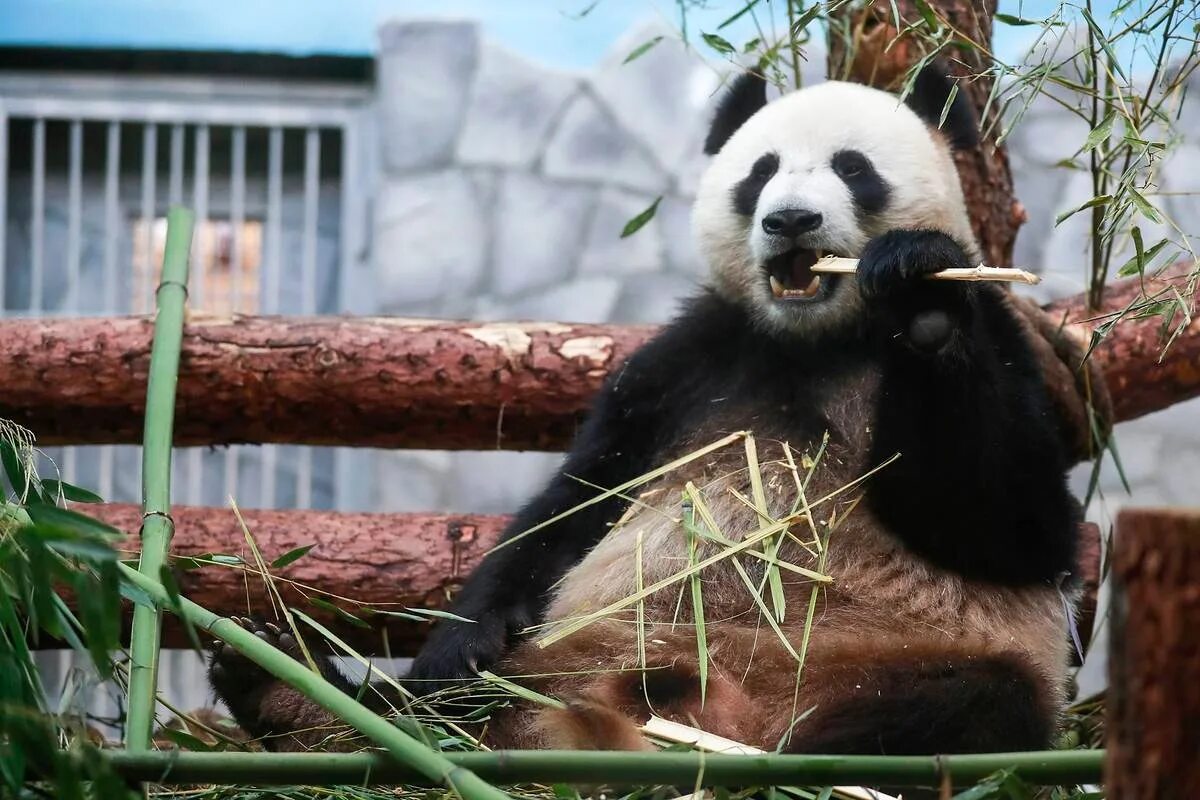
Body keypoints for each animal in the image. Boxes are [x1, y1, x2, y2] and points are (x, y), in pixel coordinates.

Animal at [211, 62, 1084, 758]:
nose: (790, 219)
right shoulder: (684, 368)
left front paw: (920, 295)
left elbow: (1016, 527)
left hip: (897, 660)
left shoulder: (1009, 344)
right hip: (575, 658)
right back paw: (293, 693)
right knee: (454, 708)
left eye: (852, 167)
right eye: (760, 171)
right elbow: (574, 503)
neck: (819, 338)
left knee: (965, 705)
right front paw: (457, 640)